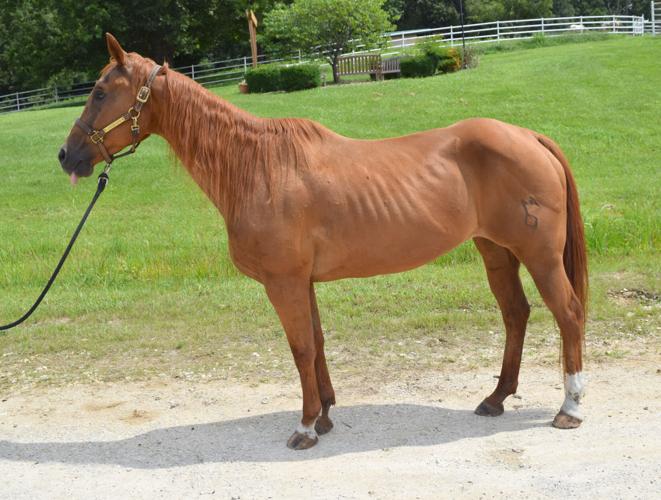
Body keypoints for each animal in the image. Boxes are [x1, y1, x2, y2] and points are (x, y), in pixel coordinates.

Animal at [59, 34, 588, 450]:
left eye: (100, 91)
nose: (67, 155)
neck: (259, 168)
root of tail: (528, 136)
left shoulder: (284, 282)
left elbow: (299, 348)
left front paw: (307, 426)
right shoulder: (303, 281)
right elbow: (316, 343)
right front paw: (328, 414)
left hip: (539, 256)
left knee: (568, 313)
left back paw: (570, 409)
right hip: (496, 251)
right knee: (516, 314)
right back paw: (496, 398)